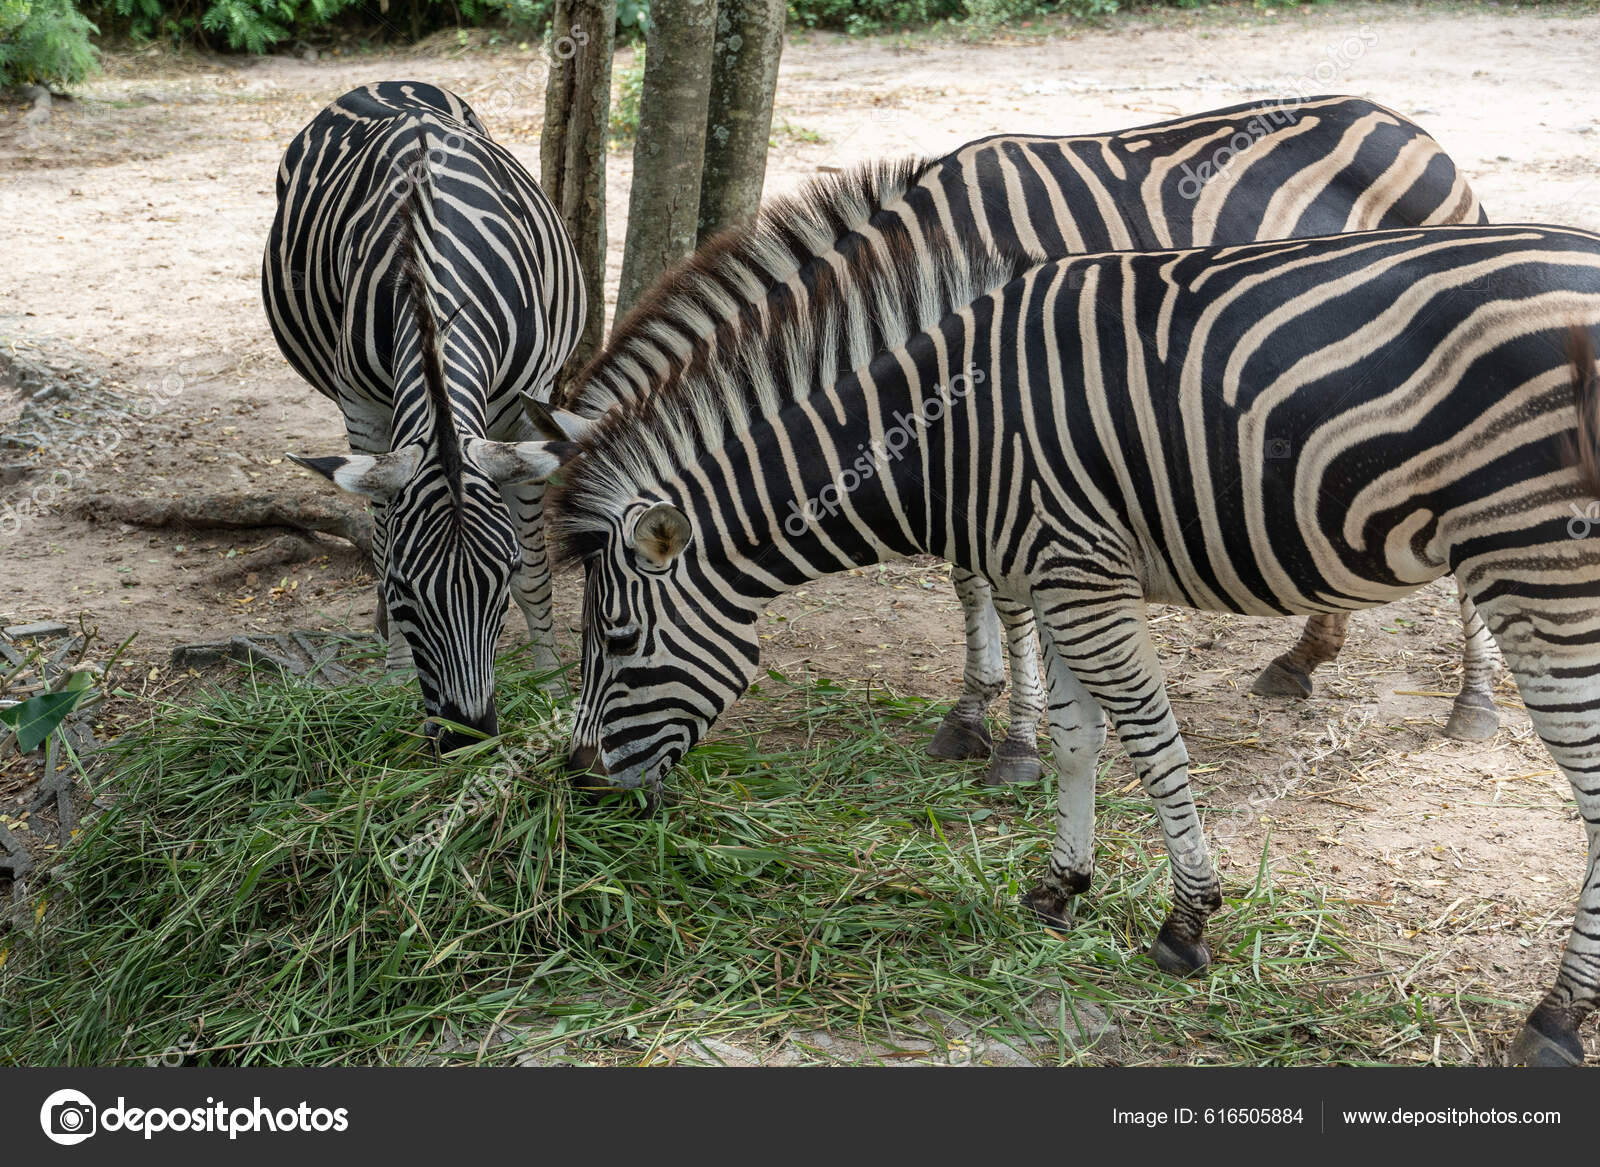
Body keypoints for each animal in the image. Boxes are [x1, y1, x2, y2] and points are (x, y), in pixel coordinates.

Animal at [263, 82, 584, 750]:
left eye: (501, 576)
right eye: (408, 589)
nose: (468, 738)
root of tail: (382, 83)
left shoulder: (525, 411)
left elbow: (538, 573)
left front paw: (554, 690)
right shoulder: (363, 409)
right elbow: (384, 549)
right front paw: (390, 682)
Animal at [543, 95, 1498, 788]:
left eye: (615, 639)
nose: (577, 776)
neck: (923, 264)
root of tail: (1408, 125)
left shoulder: (1007, 427)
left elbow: (1006, 592)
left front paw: (1019, 741)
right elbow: (969, 579)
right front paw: (972, 713)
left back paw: (1473, 705)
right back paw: (1304, 656)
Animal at [546, 218, 1600, 1066]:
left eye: (621, 638)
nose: (577, 784)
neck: (950, 435)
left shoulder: (1082, 572)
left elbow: (1151, 738)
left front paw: (1186, 921)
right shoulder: (1056, 579)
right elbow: (1077, 738)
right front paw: (1061, 887)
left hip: (1537, 563)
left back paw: (1556, 1016)